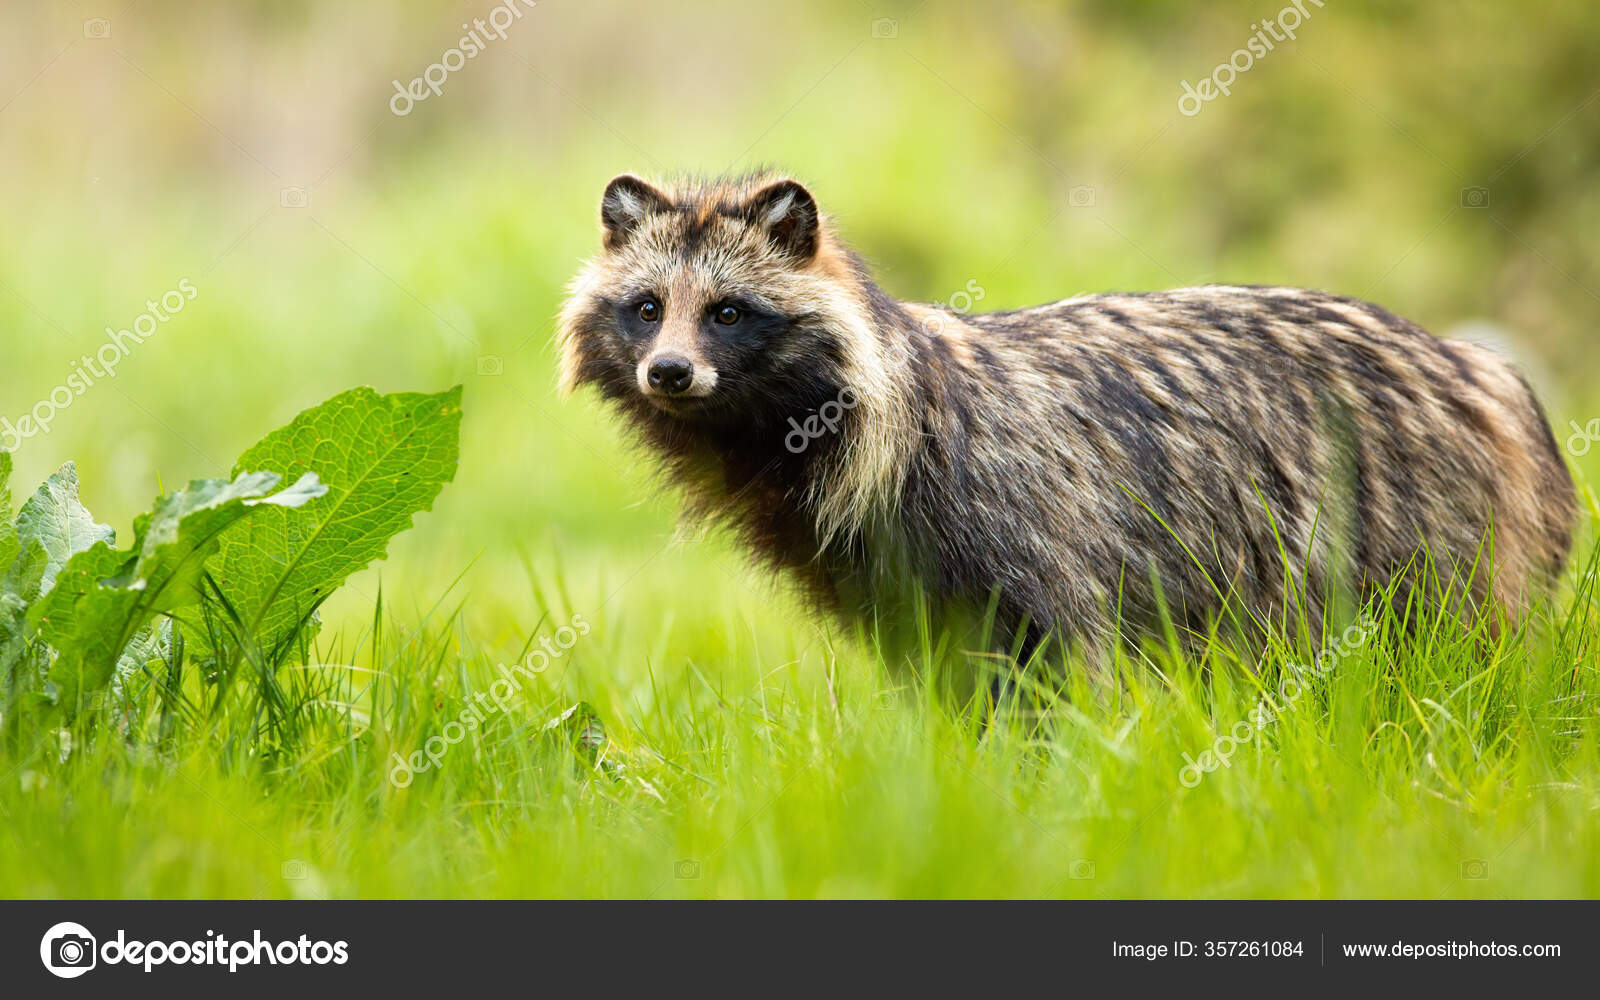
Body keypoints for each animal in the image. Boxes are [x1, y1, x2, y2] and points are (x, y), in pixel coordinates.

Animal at [557, 172, 1577, 663]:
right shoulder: (880, 575)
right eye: (647, 306)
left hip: (1413, 524)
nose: (669, 372)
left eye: (729, 312)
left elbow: (1066, 661)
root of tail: (1477, 366)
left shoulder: (1024, 523)